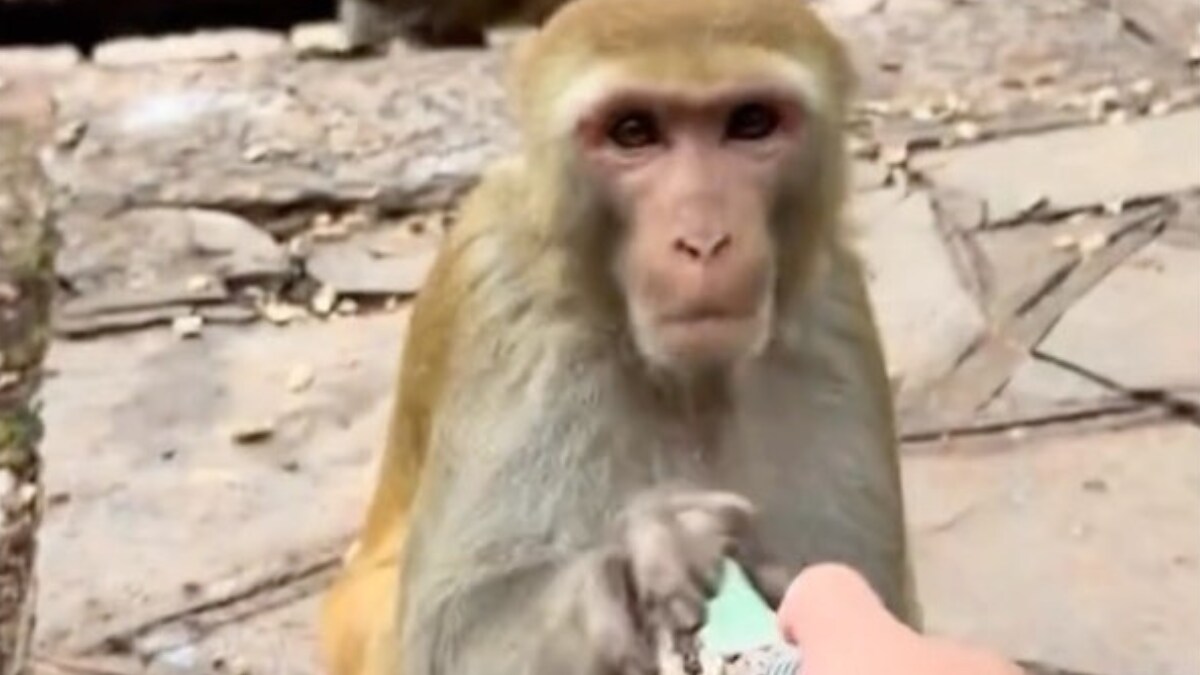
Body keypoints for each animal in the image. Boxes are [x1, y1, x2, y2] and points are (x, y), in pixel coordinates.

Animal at [320, 0, 922, 672]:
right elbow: (453, 633)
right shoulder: (508, 301)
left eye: (751, 123)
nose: (704, 241)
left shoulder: (831, 313)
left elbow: (876, 609)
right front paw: (633, 566)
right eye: (633, 132)